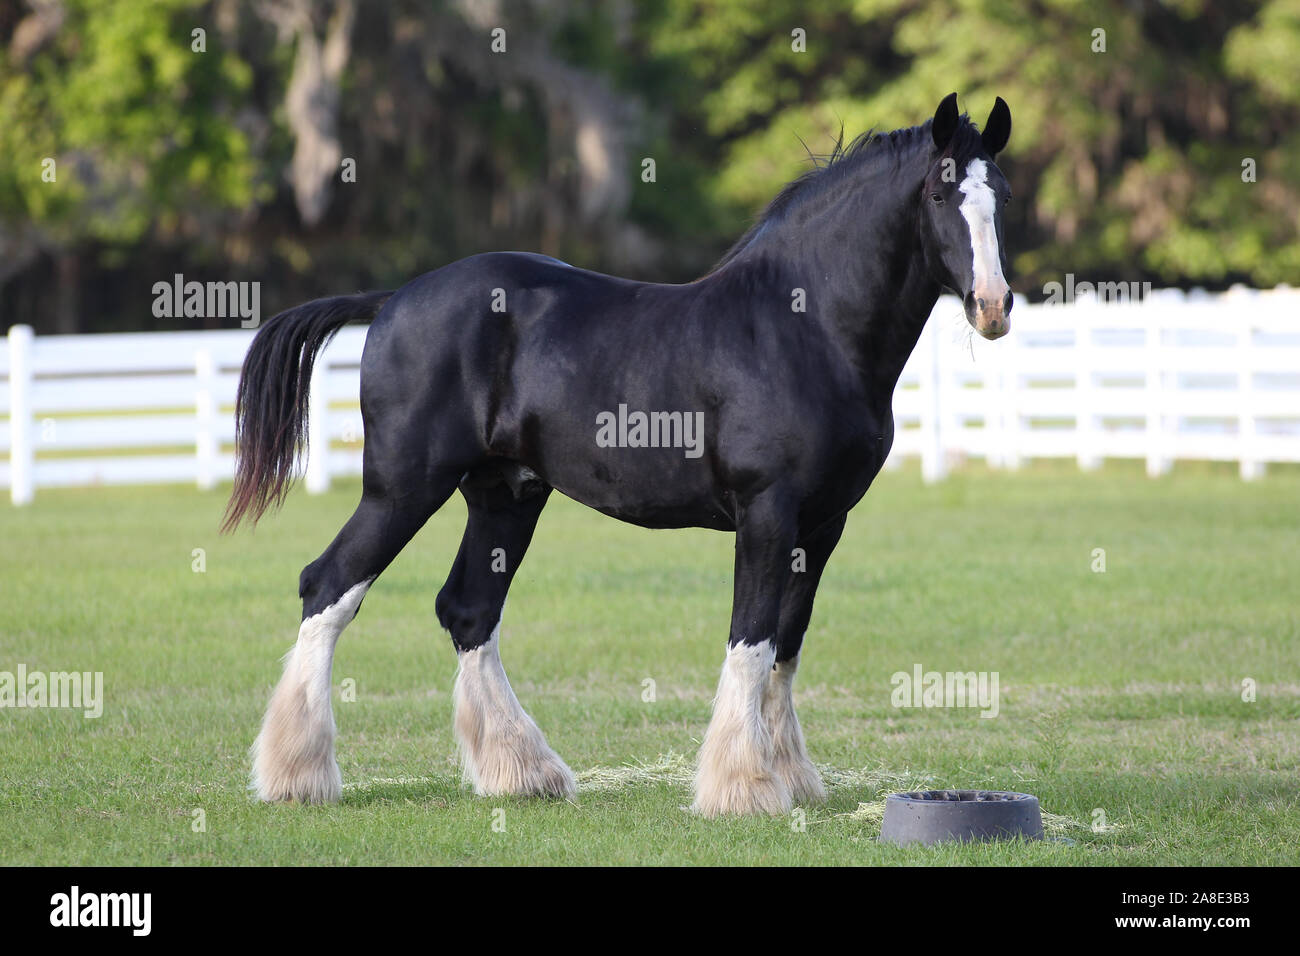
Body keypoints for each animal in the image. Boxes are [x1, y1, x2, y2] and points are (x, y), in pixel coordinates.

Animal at [223, 92, 1014, 817]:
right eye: (939, 192)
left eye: (1000, 195)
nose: (993, 305)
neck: (802, 327)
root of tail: (393, 300)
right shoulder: (768, 513)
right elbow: (751, 639)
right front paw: (742, 788)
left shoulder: (823, 525)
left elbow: (786, 645)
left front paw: (790, 779)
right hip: (402, 488)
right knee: (328, 588)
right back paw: (297, 776)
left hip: (505, 494)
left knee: (468, 612)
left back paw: (522, 773)